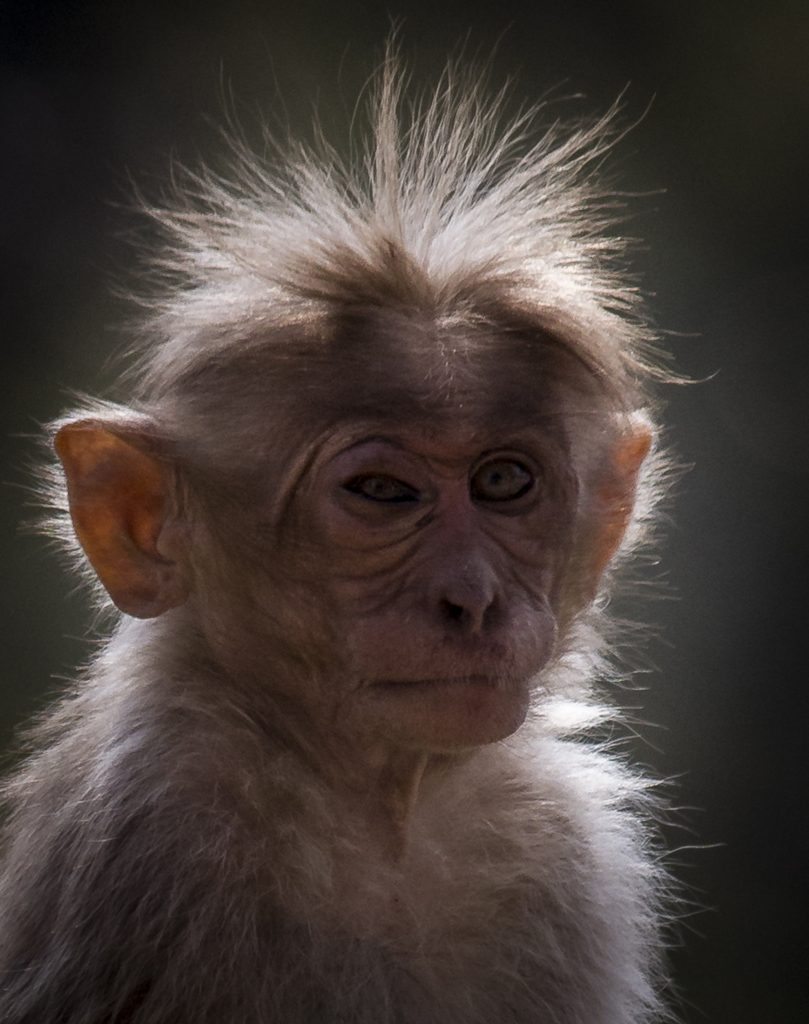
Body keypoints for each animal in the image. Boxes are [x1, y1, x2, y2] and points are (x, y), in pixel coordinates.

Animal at [0, 61, 672, 1024]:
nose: (473, 597)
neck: (372, 806)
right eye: (382, 494)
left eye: (503, 482)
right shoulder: (164, 837)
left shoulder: (564, 856)